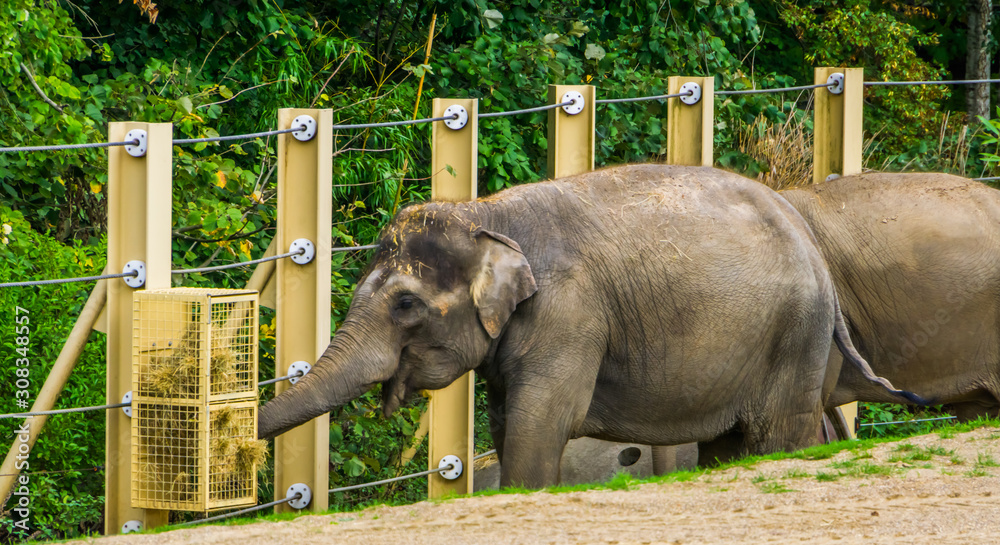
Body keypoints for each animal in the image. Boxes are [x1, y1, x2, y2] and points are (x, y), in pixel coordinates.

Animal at [258, 164, 918, 487]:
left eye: (404, 305)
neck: (487, 215)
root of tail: (812, 244)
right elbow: (508, 422)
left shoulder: (568, 314)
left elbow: (539, 426)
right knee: (727, 444)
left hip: (795, 334)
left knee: (779, 435)